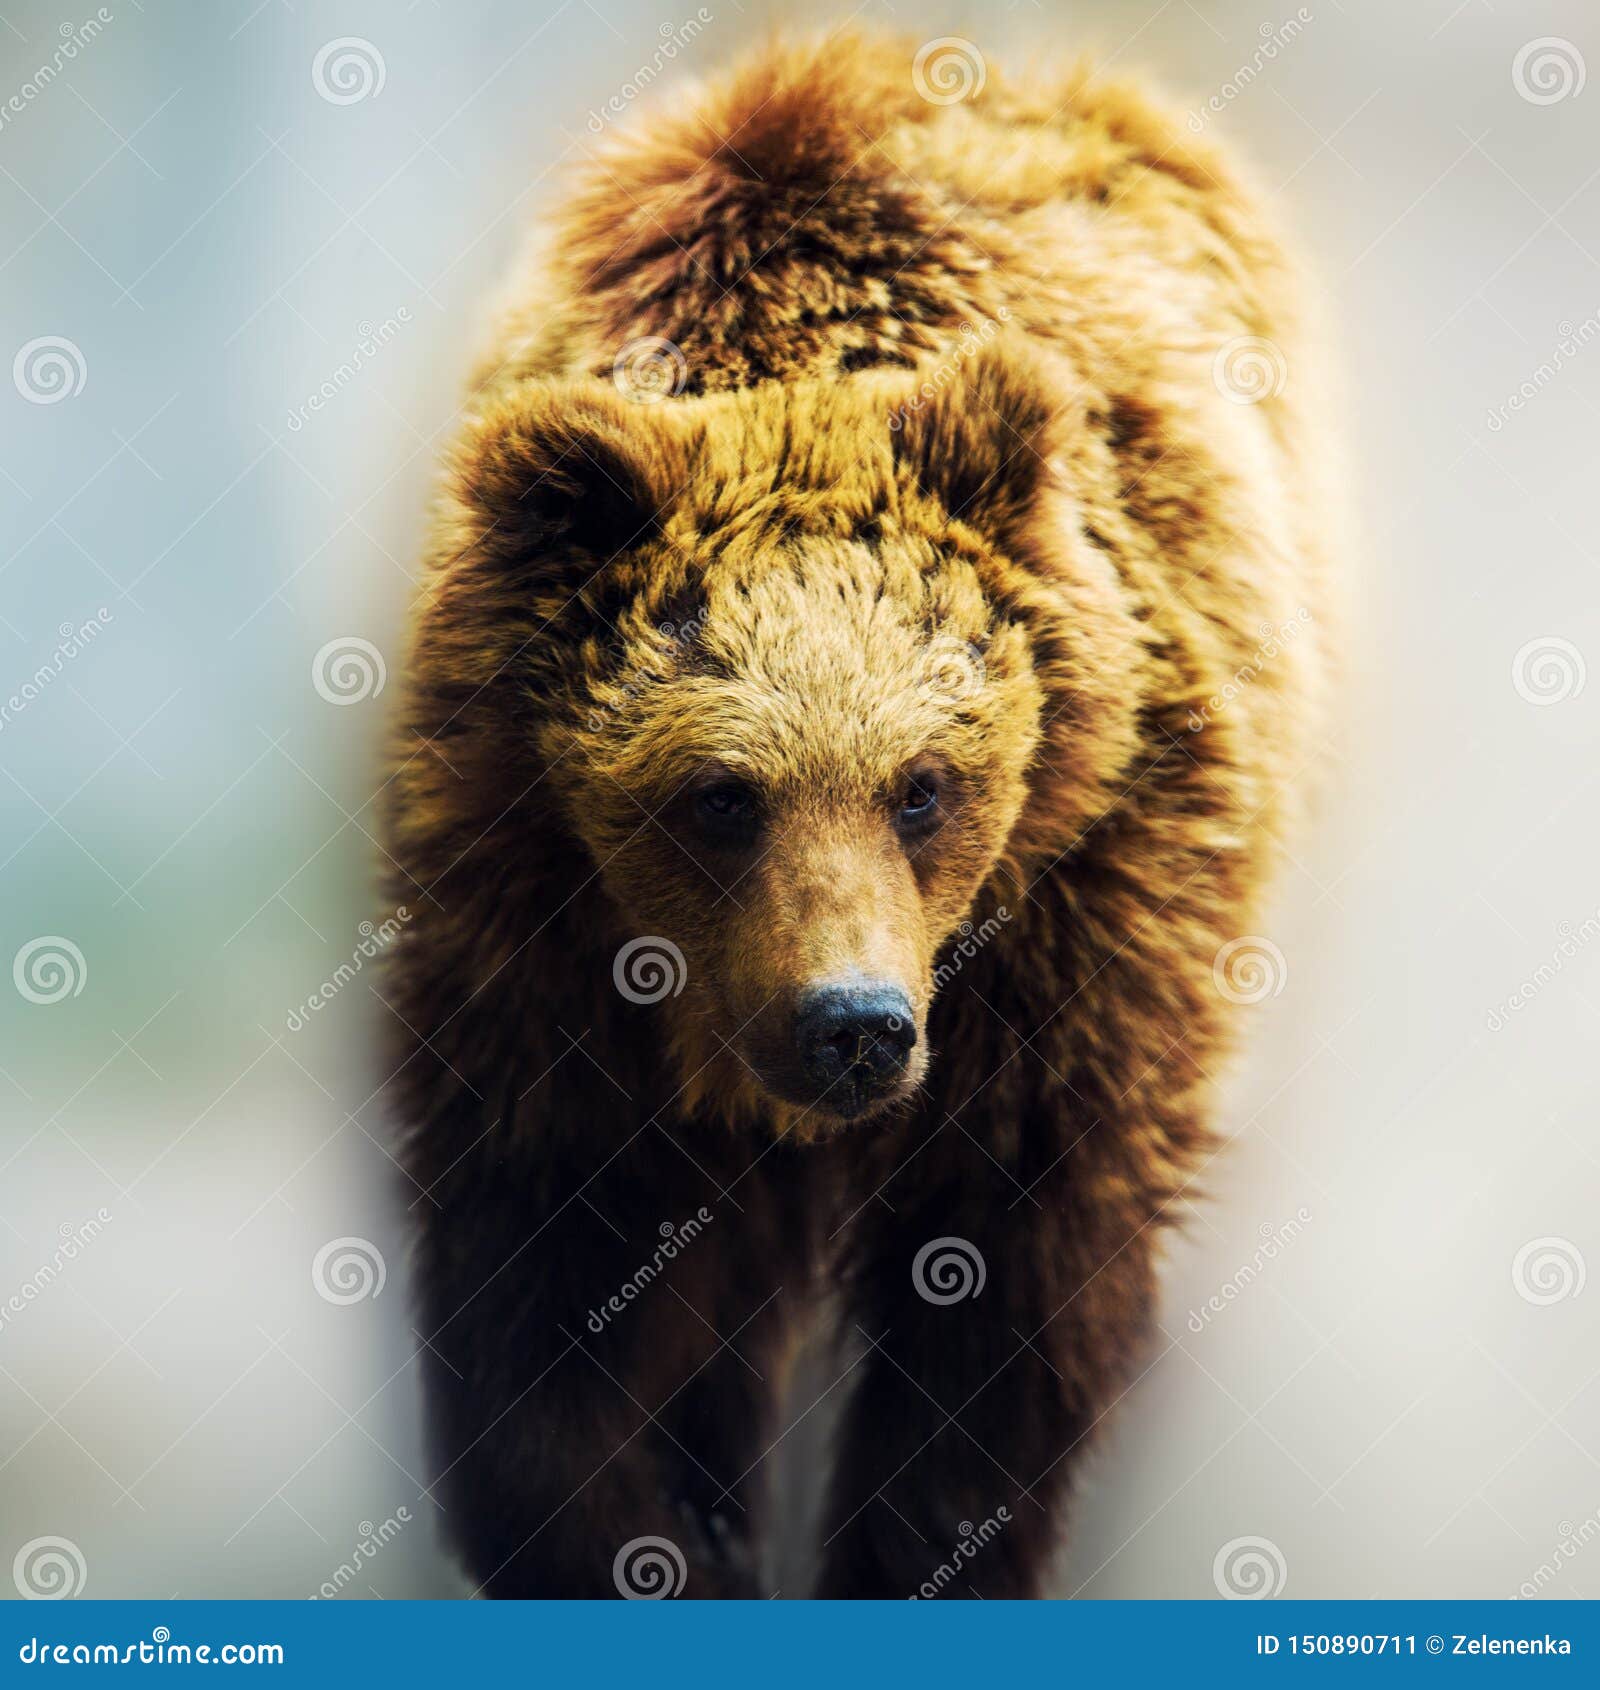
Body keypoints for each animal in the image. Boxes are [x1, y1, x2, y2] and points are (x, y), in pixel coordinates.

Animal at [382, 29, 1333, 1599]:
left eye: (923, 784)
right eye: (719, 795)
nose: (853, 1023)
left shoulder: (1076, 917)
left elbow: (1004, 1279)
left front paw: (914, 1543)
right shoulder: (536, 918)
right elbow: (553, 1258)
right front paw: (652, 1533)